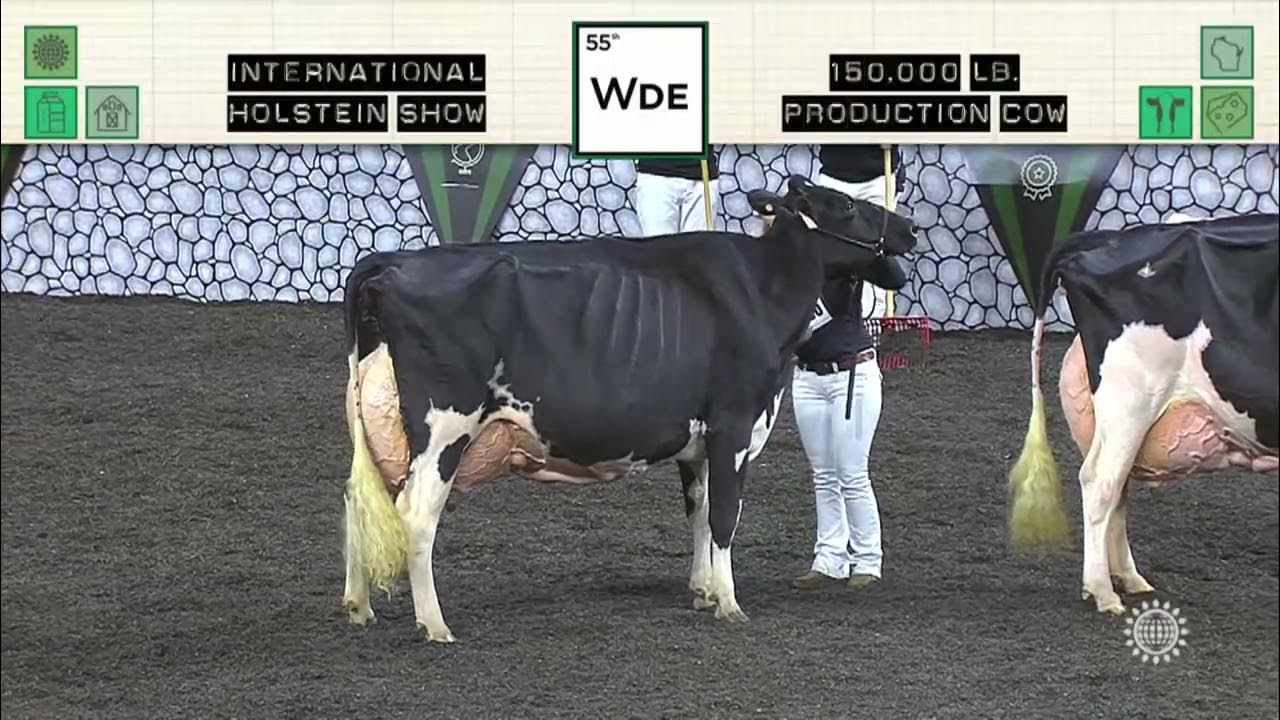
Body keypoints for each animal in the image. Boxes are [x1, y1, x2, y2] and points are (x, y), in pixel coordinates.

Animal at [338, 175, 920, 642]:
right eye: (845, 205)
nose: (911, 227)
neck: (763, 291)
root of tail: (390, 261)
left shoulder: (697, 440)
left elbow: (699, 512)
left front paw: (703, 590)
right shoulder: (733, 426)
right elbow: (725, 517)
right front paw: (730, 604)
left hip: (374, 423)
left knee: (356, 498)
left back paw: (359, 607)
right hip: (444, 425)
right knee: (416, 514)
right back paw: (435, 625)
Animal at [1006, 212, 1279, 614]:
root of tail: (1109, 239)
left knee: (1118, 486)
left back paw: (1128, 578)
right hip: (1131, 400)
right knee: (1100, 483)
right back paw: (1104, 591)